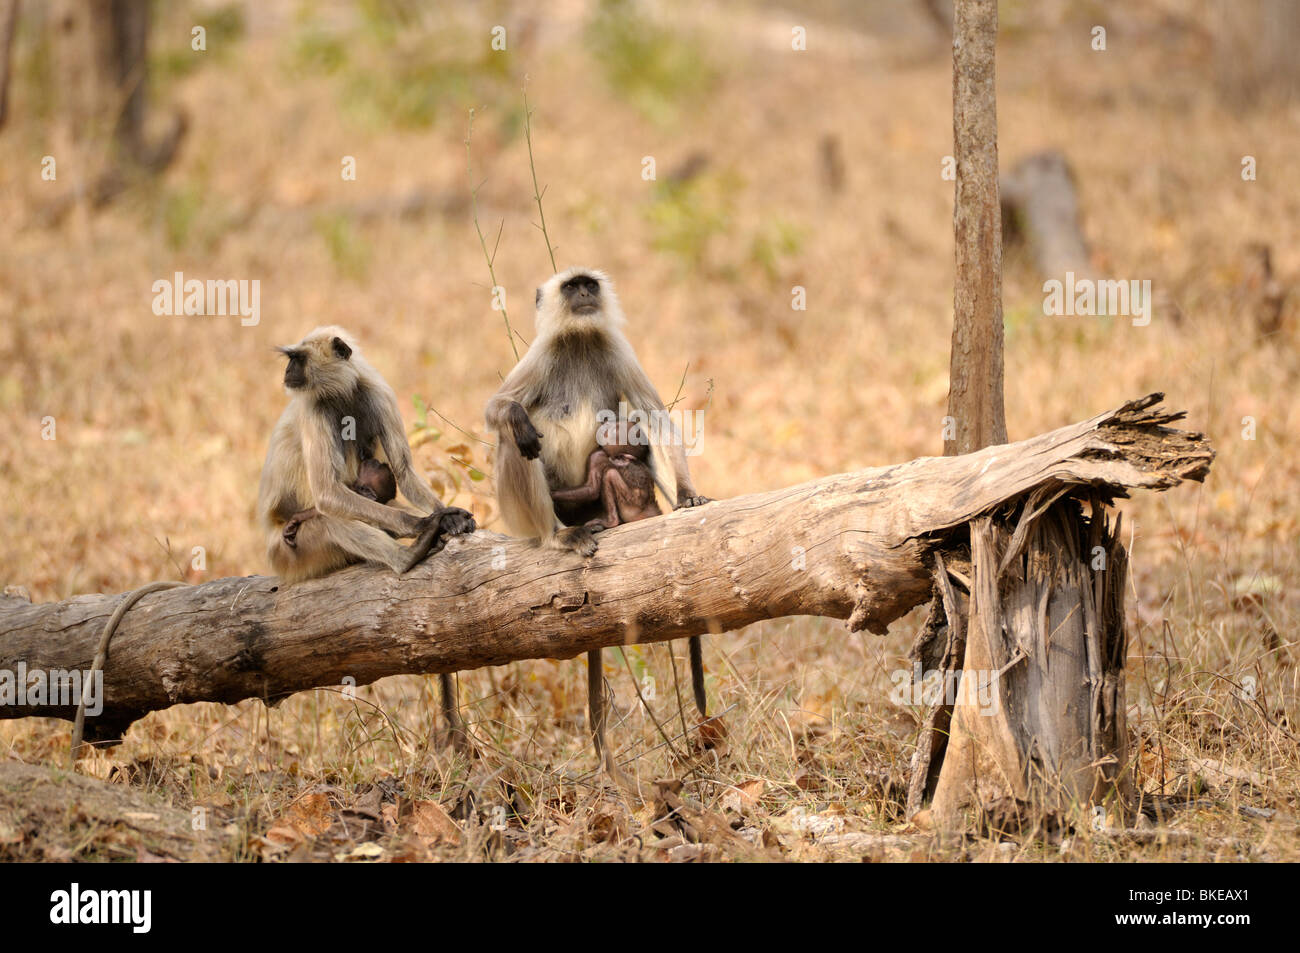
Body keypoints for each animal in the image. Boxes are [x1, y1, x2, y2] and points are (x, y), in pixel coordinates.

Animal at [257, 326, 476, 749]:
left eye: (298, 360)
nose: (289, 373)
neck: (341, 391)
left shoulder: (377, 393)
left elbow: (403, 471)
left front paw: (449, 517)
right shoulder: (314, 409)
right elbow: (328, 494)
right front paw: (425, 523)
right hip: (288, 552)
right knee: (328, 516)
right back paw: (408, 556)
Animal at [484, 268, 711, 776]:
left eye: (589, 283)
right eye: (573, 287)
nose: (587, 294)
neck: (580, 340)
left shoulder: (614, 348)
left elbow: (658, 417)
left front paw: (687, 492)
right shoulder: (542, 354)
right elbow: (497, 409)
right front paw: (513, 414)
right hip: (521, 510)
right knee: (514, 440)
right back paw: (556, 535)